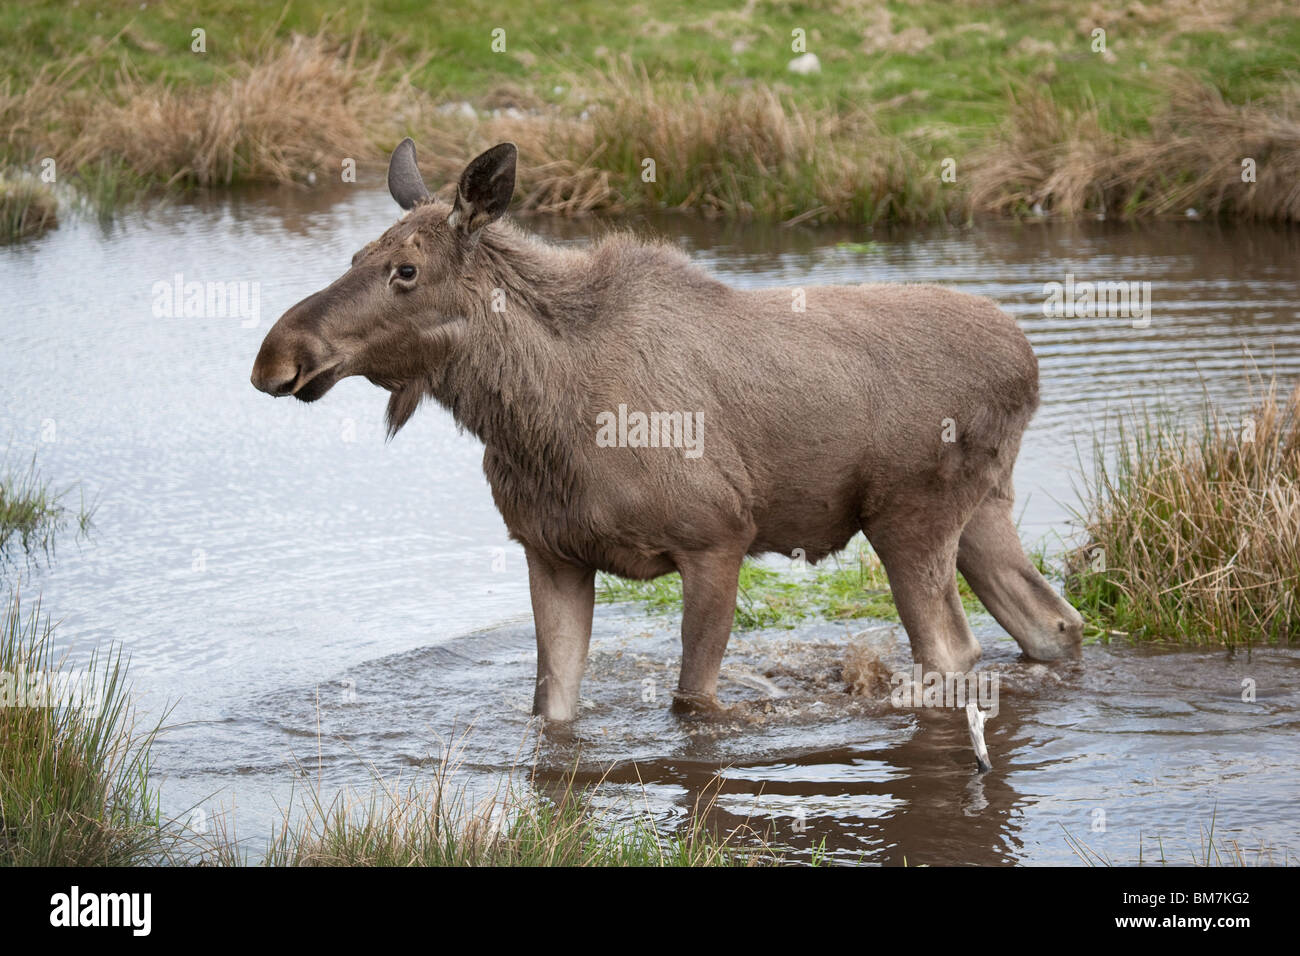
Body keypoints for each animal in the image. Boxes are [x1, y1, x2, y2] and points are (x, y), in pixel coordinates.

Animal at [251, 139, 1083, 722]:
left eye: (407, 271)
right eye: (355, 253)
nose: (275, 357)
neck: (536, 419)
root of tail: (1030, 367)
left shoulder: (717, 536)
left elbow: (693, 702)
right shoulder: (552, 551)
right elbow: (551, 709)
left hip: (911, 513)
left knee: (954, 649)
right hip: (983, 508)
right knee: (1054, 621)